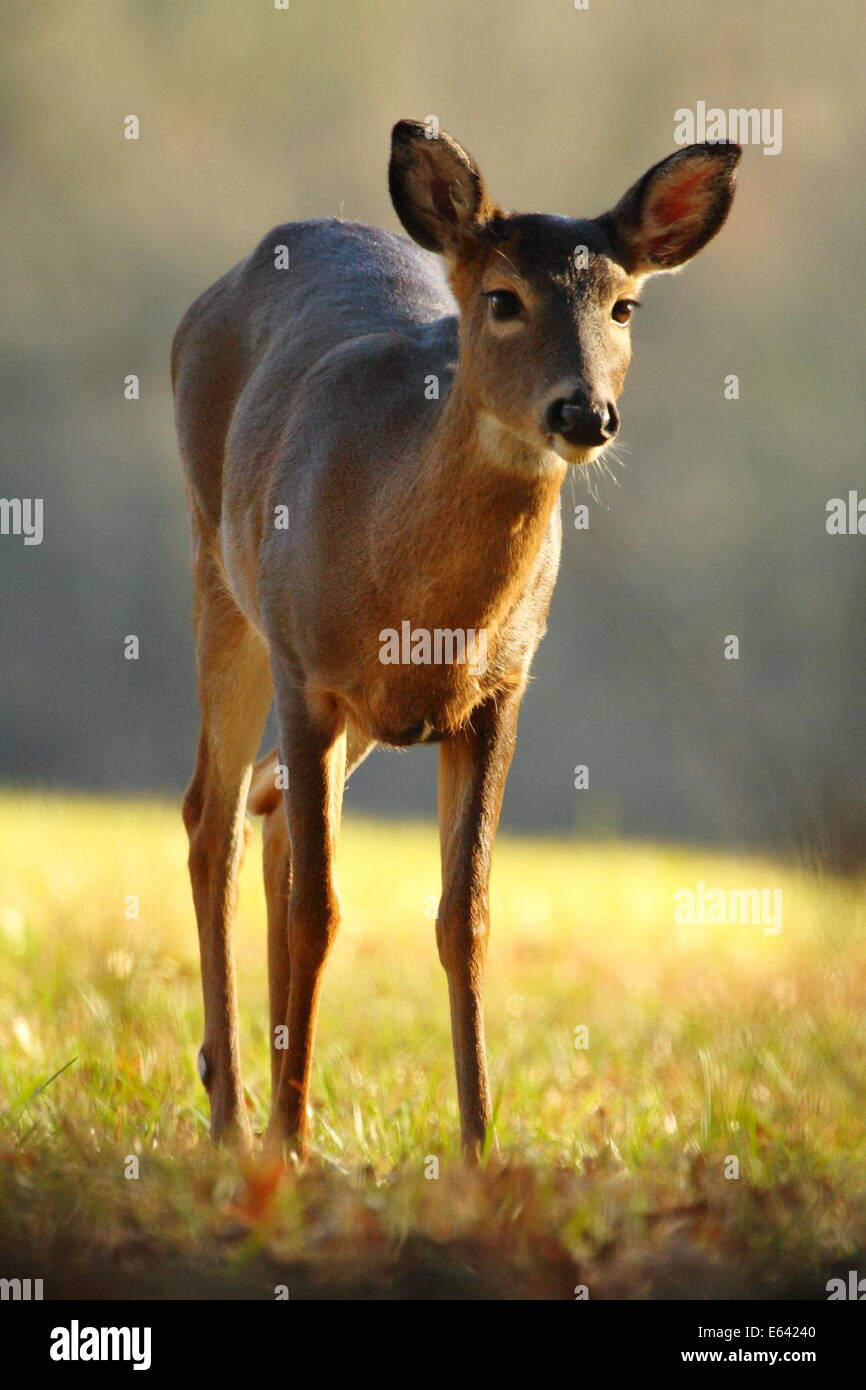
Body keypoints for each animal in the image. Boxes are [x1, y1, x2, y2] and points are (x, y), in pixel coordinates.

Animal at [172, 119, 740, 1163]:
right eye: (503, 298)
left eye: (625, 304)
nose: (585, 412)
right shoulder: (307, 668)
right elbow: (322, 910)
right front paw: (292, 1148)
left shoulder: (501, 690)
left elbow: (463, 917)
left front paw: (479, 1152)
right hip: (222, 577)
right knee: (212, 817)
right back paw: (234, 1118)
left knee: (267, 809)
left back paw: (259, 1096)